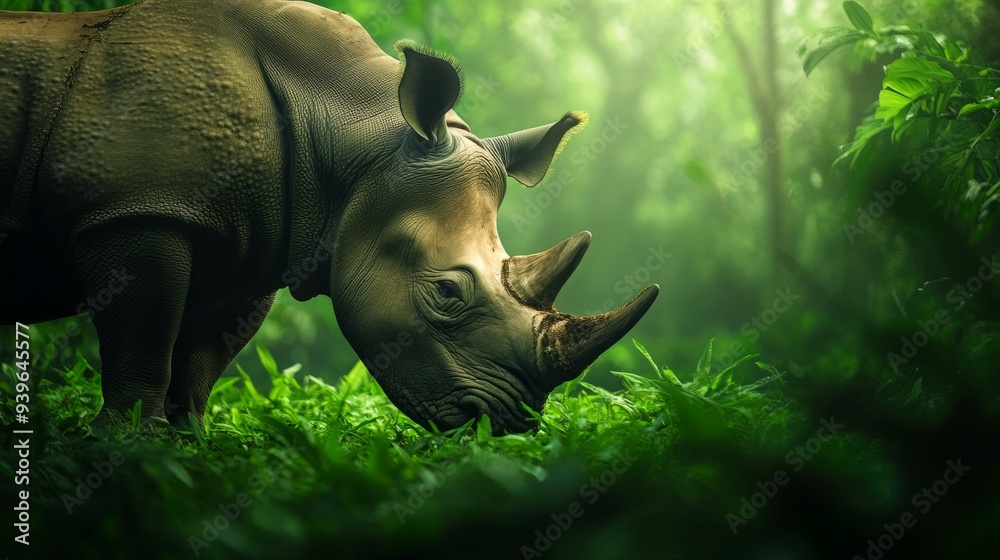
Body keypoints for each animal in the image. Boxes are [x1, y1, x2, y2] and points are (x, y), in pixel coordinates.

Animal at [0, 0, 658, 434]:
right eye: (447, 294)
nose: (506, 426)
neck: (354, 133)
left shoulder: (245, 246)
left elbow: (200, 362)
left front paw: (187, 451)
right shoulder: (134, 211)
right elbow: (142, 344)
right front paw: (126, 449)